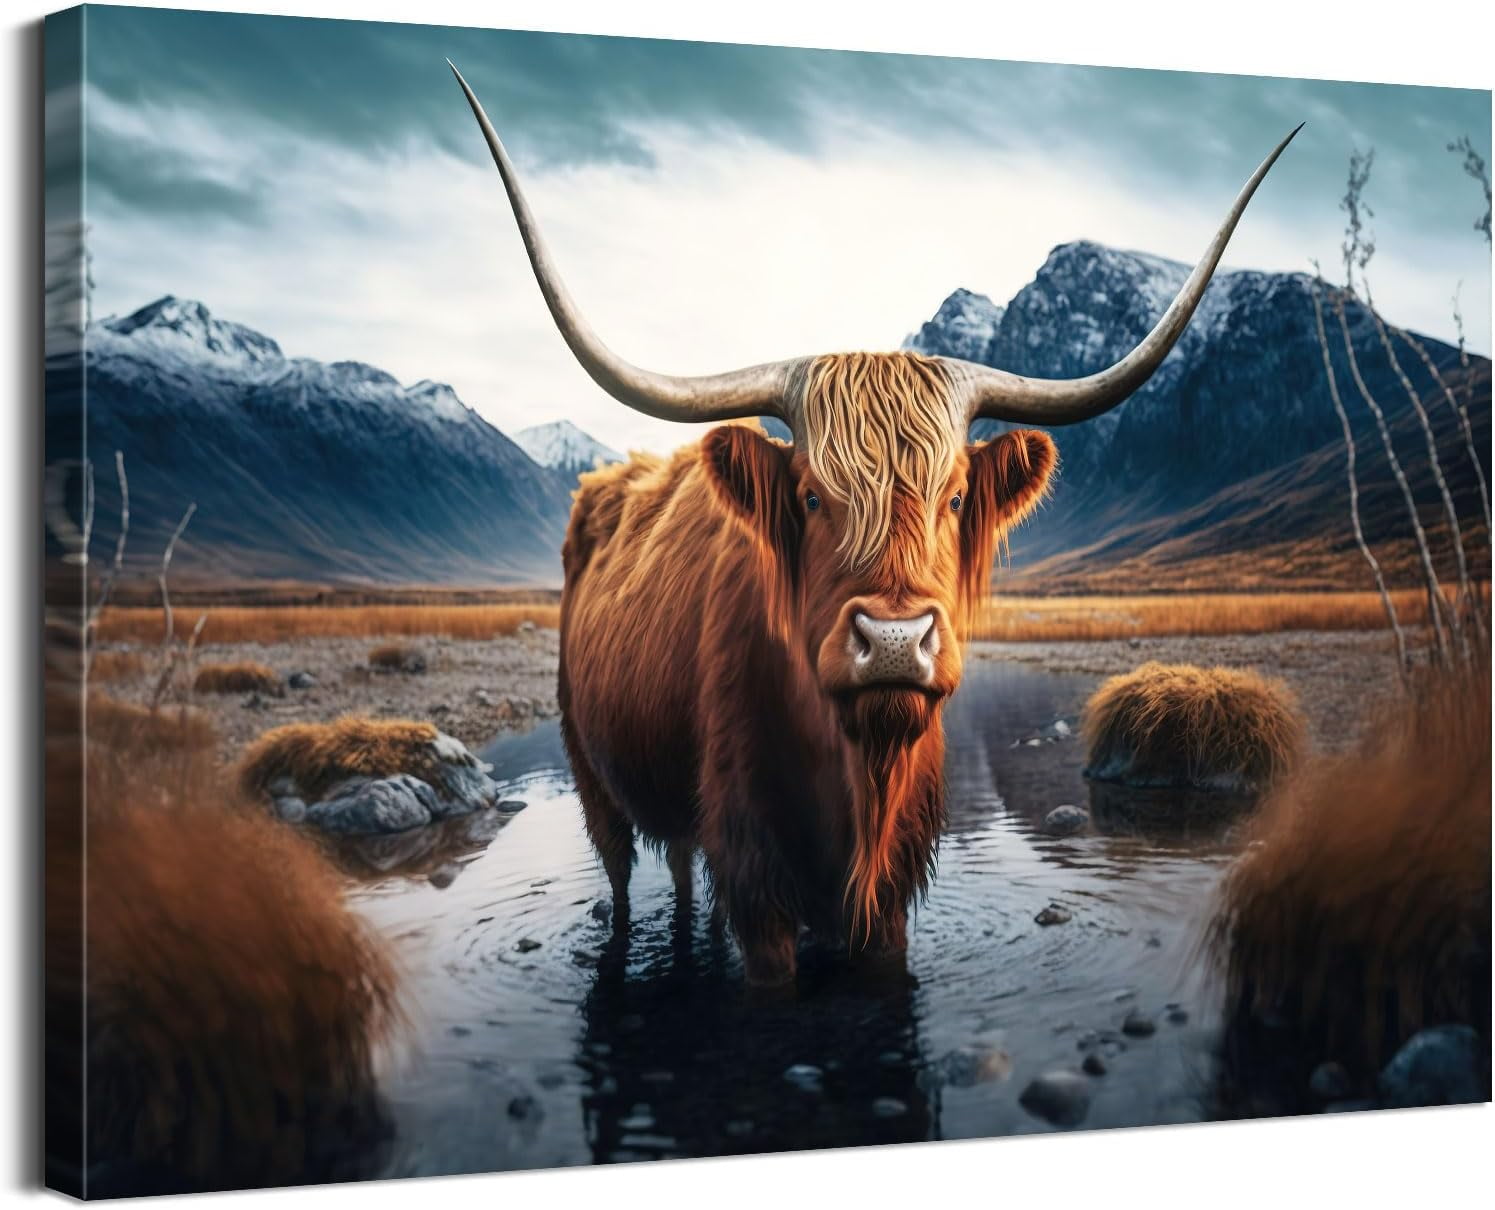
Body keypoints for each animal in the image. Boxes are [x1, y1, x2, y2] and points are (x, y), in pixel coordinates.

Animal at [451, 63, 1298, 985]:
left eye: (955, 495)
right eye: (810, 496)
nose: (893, 642)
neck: (853, 774)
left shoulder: (893, 886)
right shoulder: (755, 873)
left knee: (679, 862)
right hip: (592, 770)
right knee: (626, 872)